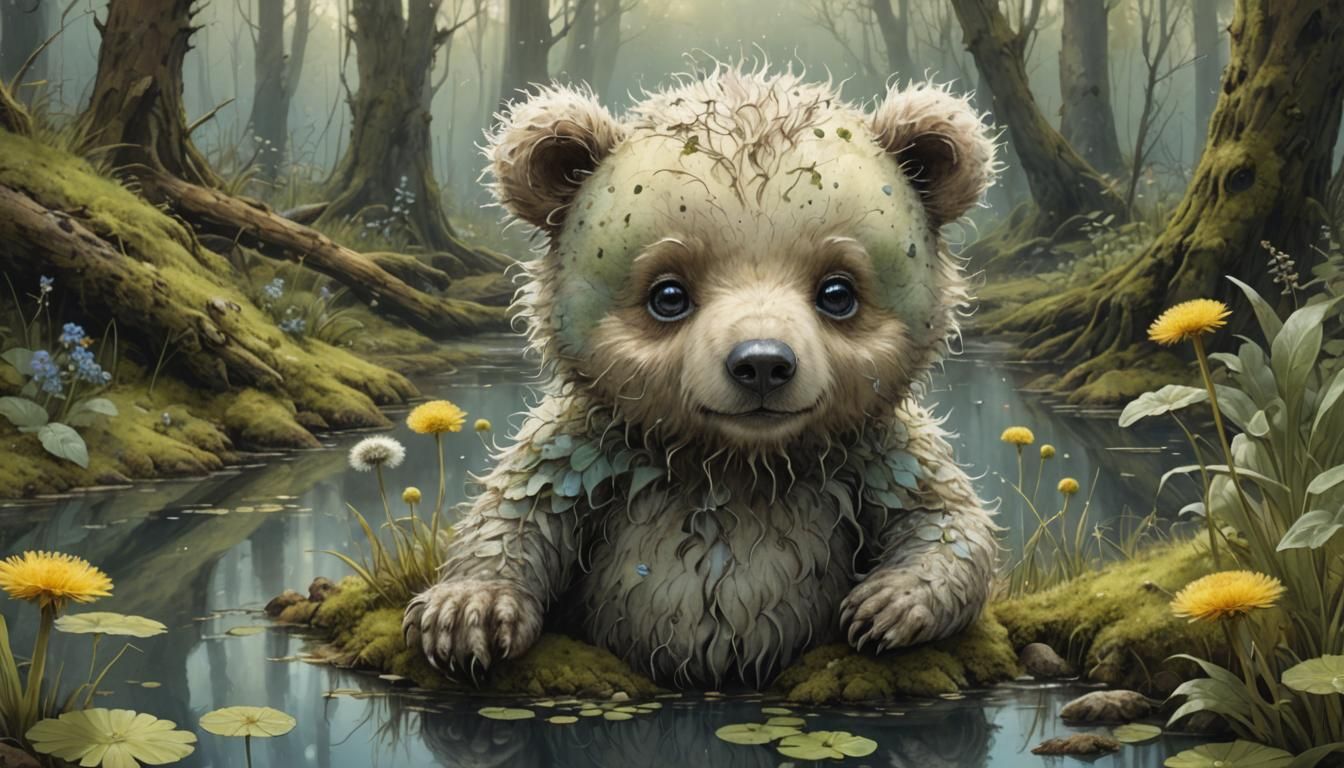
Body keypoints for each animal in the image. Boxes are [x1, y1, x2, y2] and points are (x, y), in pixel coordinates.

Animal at [403, 65, 999, 689]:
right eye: (668, 295)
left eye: (838, 292)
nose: (762, 362)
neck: (737, 463)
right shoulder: (596, 449)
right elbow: (518, 509)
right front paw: (468, 612)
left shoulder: (870, 450)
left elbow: (945, 517)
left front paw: (889, 605)